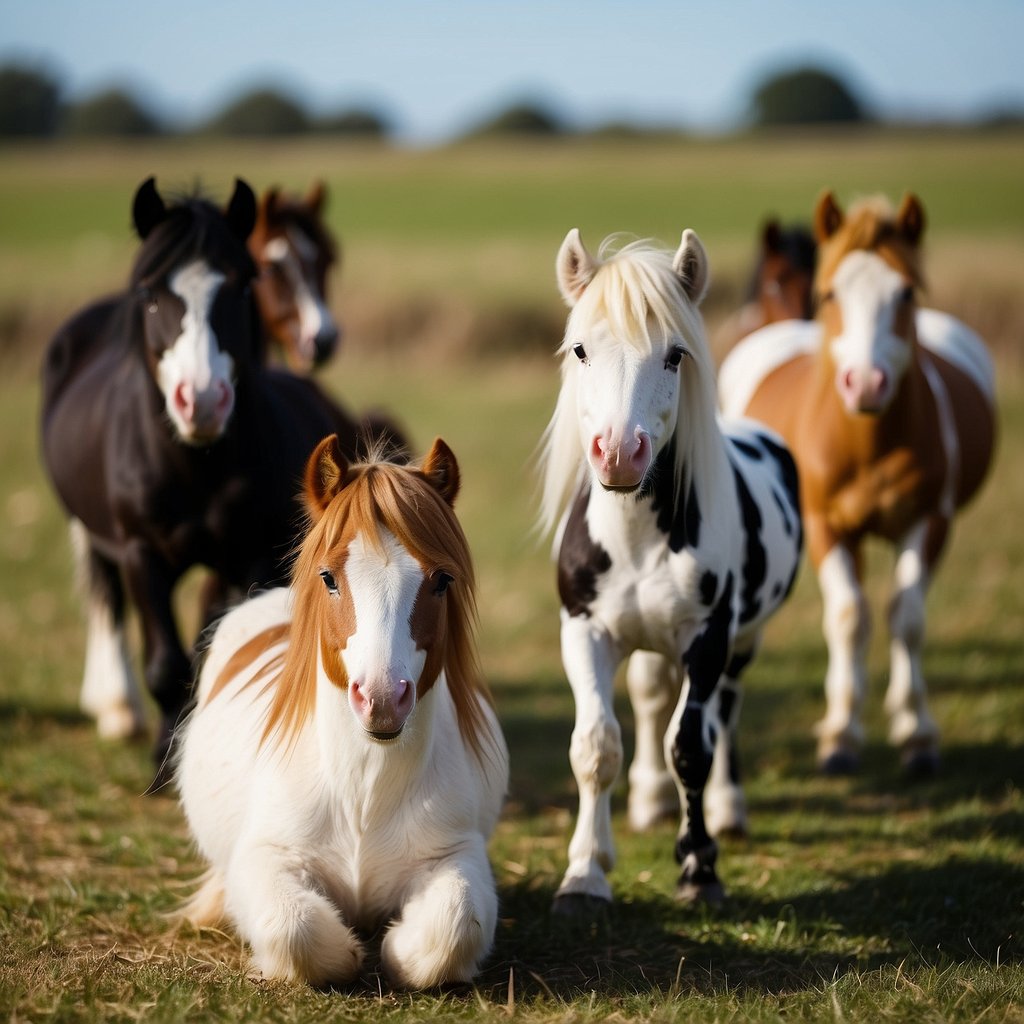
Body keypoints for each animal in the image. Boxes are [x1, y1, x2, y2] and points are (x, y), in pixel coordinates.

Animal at [176, 436, 508, 988]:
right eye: (329, 577)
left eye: (441, 580)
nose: (382, 698)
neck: (362, 790)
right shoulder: (266, 858)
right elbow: (296, 927)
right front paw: (351, 953)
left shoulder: (457, 855)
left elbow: (454, 925)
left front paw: (396, 950)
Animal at [540, 229, 803, 909]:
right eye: (581, 349)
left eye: (675, 356)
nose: (618, 452)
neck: (637, 540)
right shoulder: (583, 631)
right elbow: (596, 745)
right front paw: (585, 872)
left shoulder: (708, 639)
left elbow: (691, 746)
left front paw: (699, 867)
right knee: (654, 696)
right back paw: (651, 802)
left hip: (743, 639)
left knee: (724, 712)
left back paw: (726, 810)